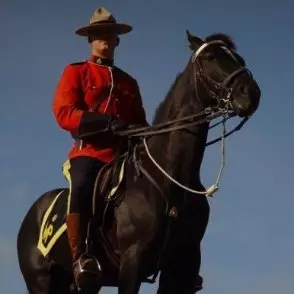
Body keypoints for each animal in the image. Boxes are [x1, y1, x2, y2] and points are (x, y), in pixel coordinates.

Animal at [16, 30, 260, 294]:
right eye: (210, 57)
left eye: (239, 58)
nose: (251, 93)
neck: (171, 177)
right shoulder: (132, 261)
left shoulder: (183, 266)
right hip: (41, 282)